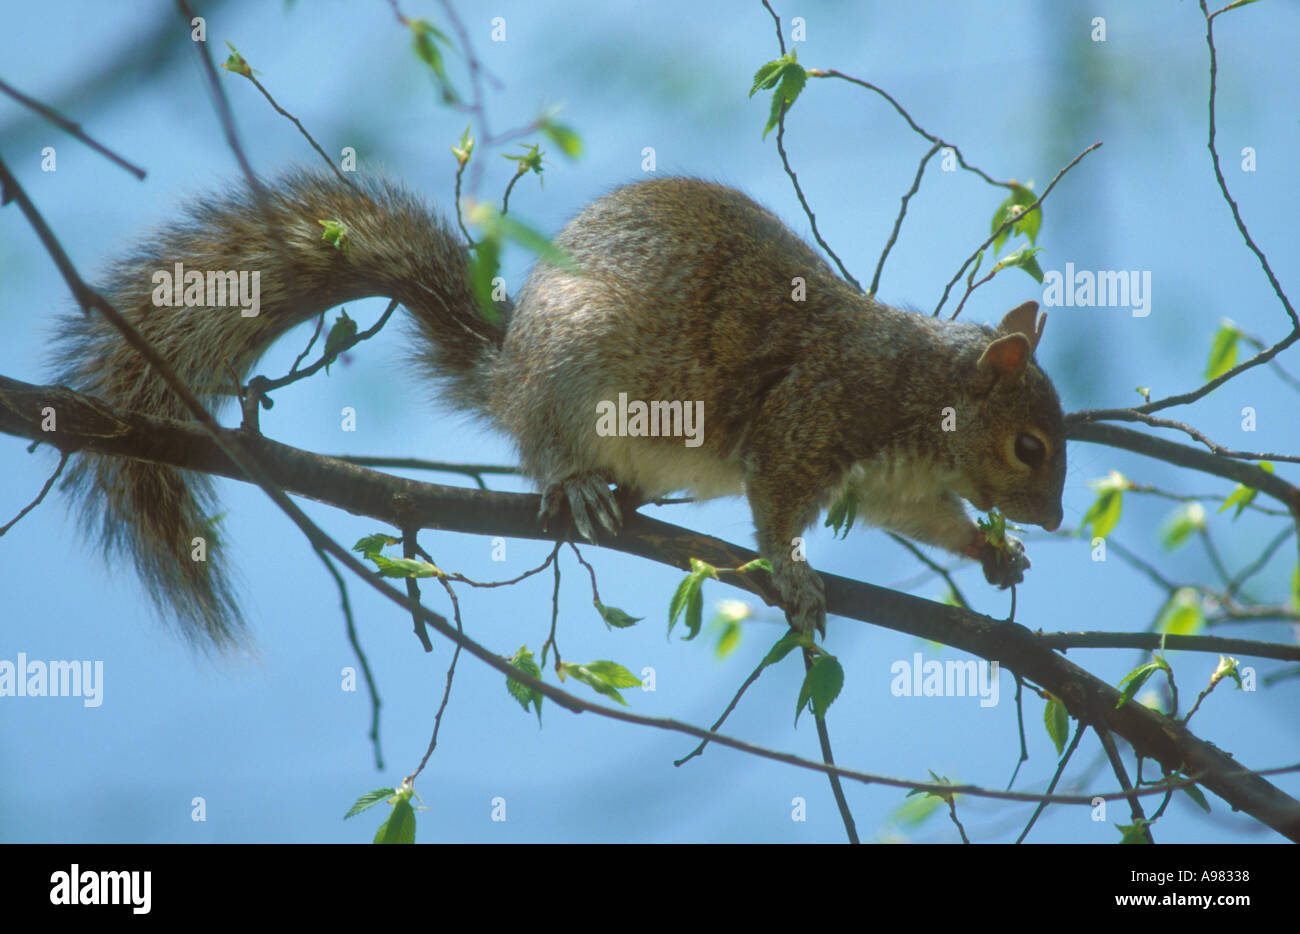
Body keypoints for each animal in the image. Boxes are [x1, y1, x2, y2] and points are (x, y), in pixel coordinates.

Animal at [52, 171, 1066, 646]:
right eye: (1028, 446)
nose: (1056, 520)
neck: (922, 390)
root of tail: (507, 372)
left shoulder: (894, 481)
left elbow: (927, 518)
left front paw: (996, 552)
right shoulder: (812, 415)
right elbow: (776, 512)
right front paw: (799, 578)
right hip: (572, 379)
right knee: (542, 448)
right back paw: (576, 487)